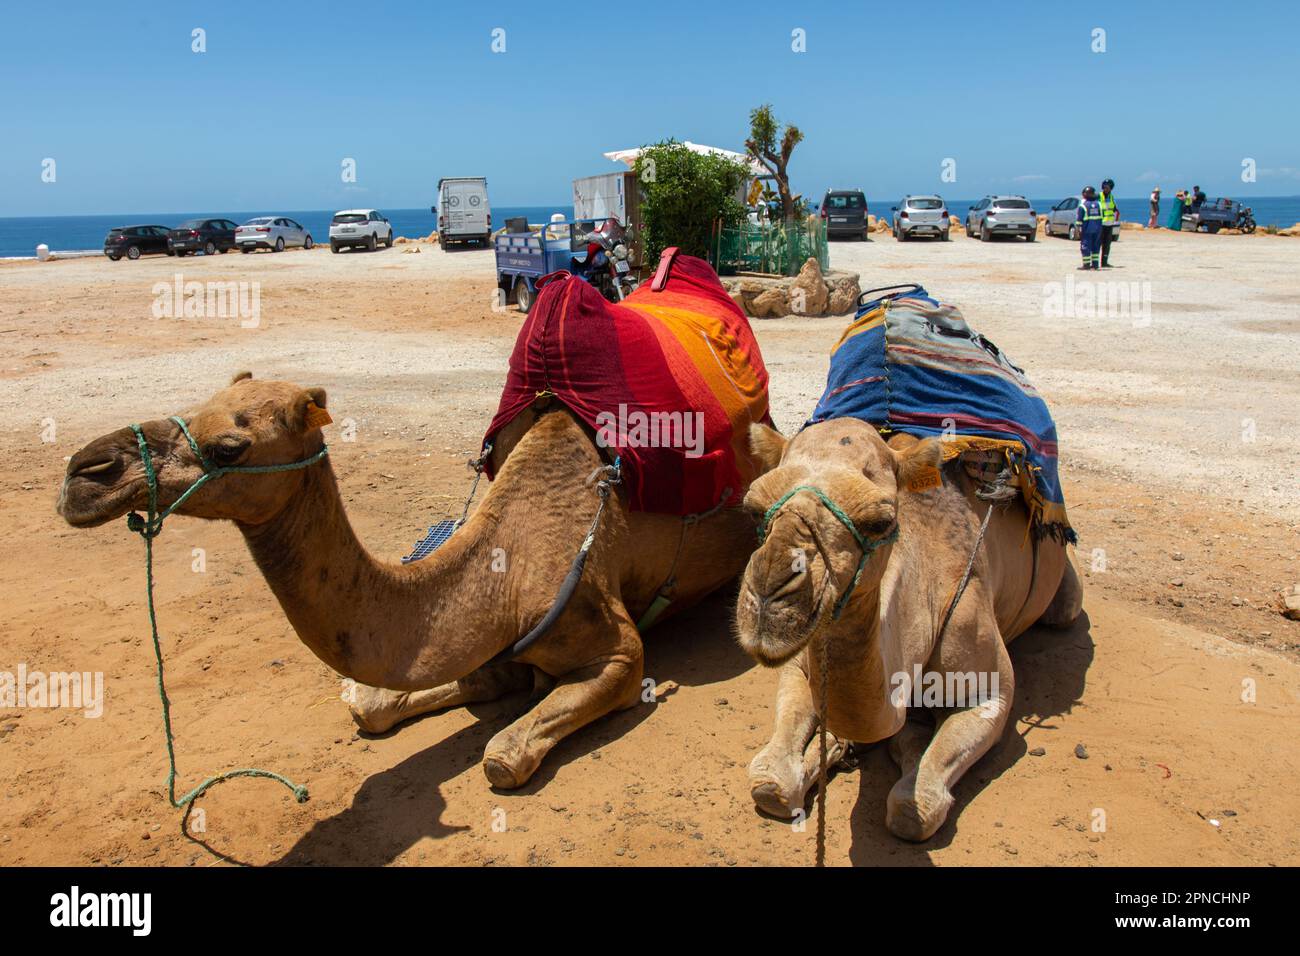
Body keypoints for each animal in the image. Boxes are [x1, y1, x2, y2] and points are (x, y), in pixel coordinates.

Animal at [57, 372, 760, 789]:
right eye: (192, 408)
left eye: (229, 447)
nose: (85, 472)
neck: (502, 562)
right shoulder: (486, 643)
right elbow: (374, 706)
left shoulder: (616, 647)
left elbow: (502, 758)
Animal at [734, 419, 1083, 841]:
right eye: (754, 511)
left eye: (880, 522)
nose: (768, 599)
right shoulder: (798, 666)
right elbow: (770, 783)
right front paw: (835, 746)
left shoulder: (989, 688)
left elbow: (912, 810)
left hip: (1066, 596)